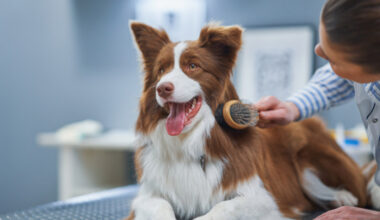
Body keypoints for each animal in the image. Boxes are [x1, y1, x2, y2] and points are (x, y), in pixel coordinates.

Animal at [125, 21, 380, 220]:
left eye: (193, 66)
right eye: (161, 70)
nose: (162, 88)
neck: (189, 141)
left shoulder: (265, 198)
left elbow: (223, 208)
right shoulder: (147, 196)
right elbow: (159, 205)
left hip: (307, 151)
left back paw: (342, 196)